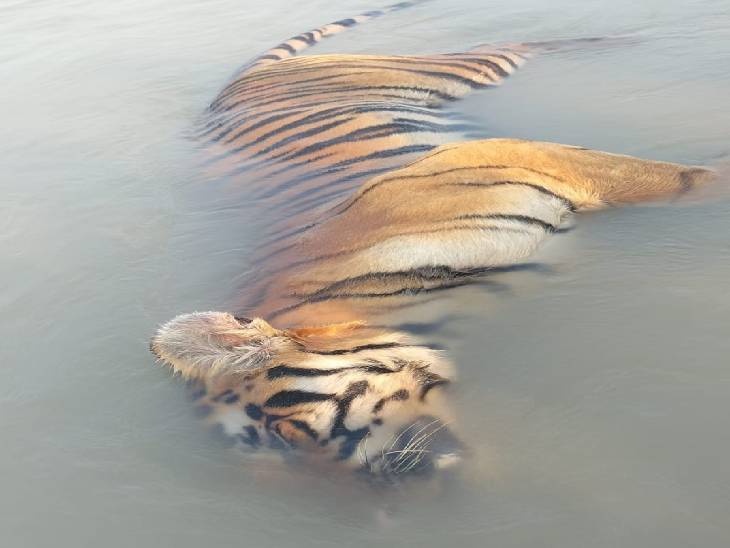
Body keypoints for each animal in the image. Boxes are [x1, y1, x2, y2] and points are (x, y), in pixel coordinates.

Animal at [150, 1, 717, 480]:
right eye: (283, 457)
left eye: (291, 434)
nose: (400, 481)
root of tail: (235, 82)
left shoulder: (545, 160)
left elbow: (696, 179)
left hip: (452, 69)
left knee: (513, 43)